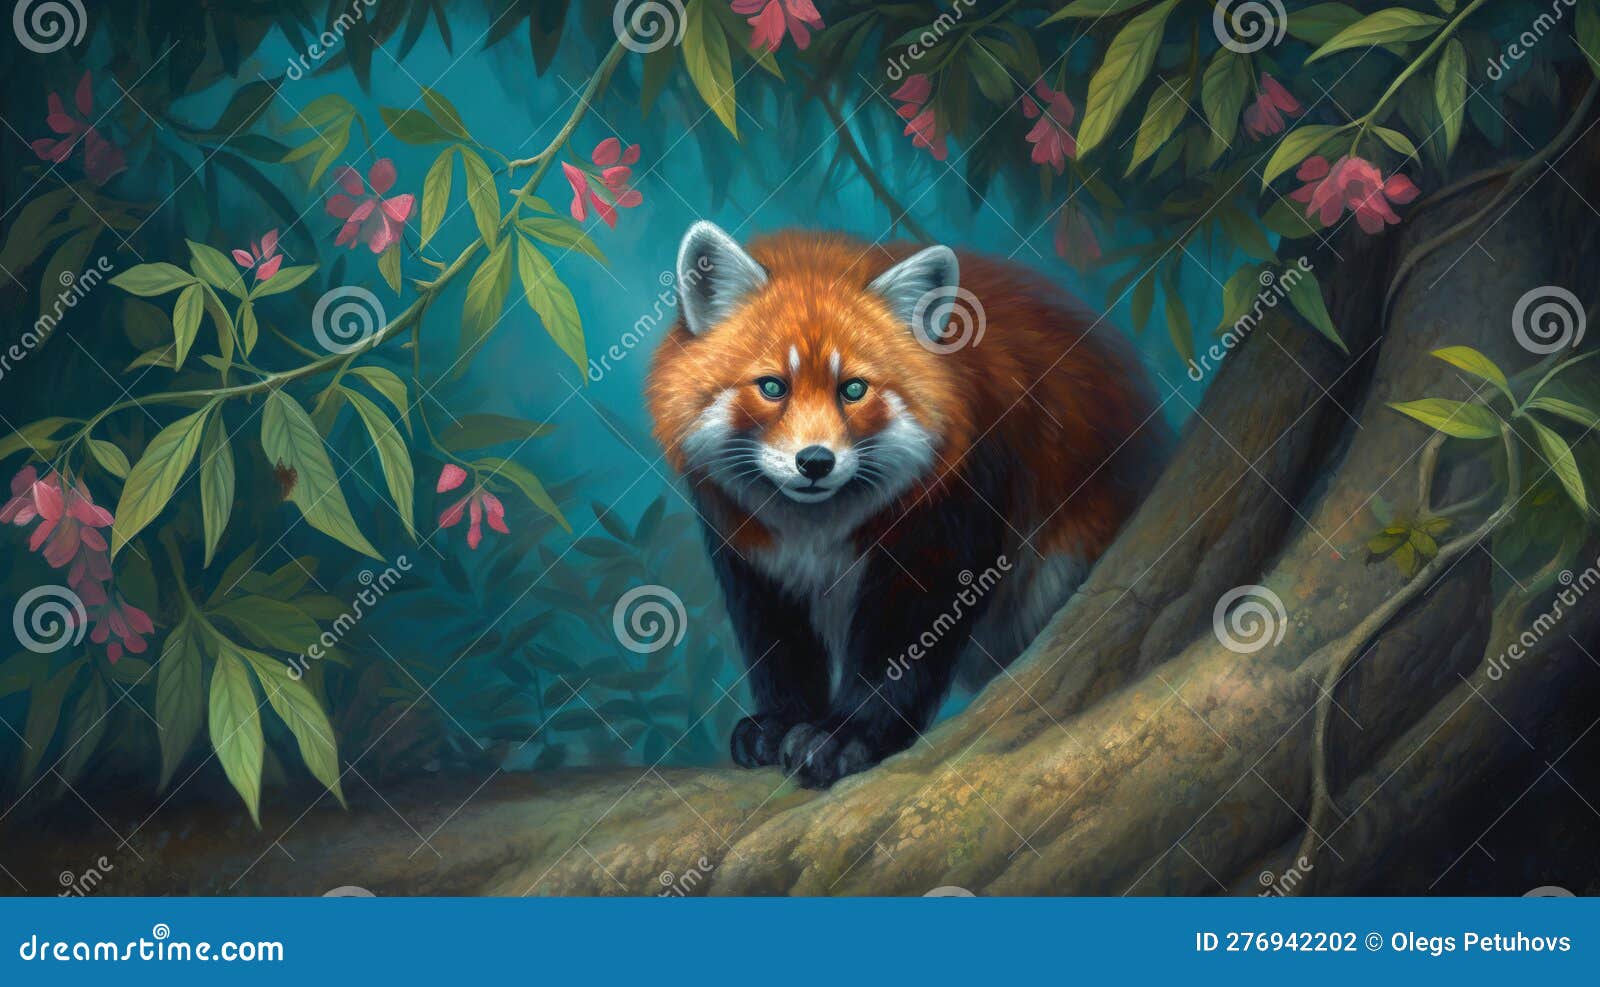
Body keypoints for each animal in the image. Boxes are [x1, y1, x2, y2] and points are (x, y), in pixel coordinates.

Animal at [646, 222, 1166, 788]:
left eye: (853, 389)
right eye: (772, 387)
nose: (815, 461)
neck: (817, 532)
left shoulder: (945, 538)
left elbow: (898, 657)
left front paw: (847, 736)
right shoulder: (750, 558)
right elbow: (779, 653)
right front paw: (783, 720)